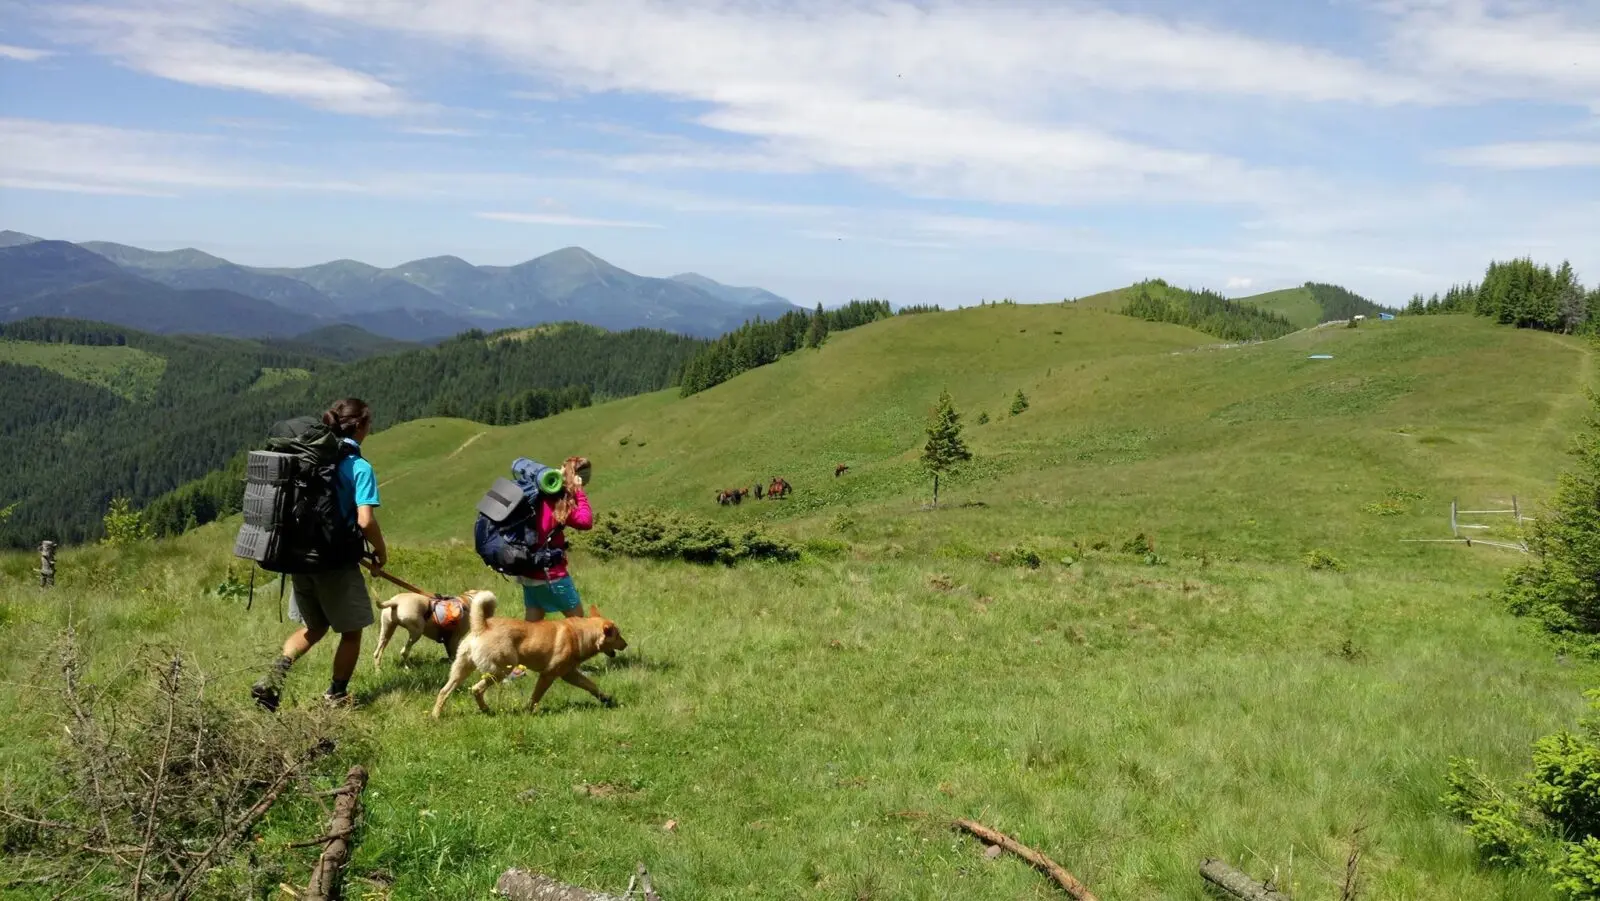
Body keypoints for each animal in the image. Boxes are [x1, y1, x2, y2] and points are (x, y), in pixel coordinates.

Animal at [432, 592, 630, 720]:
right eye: (618, 635)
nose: (626, 644)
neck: (579, 634)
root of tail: (481, 626)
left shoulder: (570, 674)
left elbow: (591, 685)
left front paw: (605, 698)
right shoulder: (548, 675)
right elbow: (536, 696)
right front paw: (528, 711)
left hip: (460, 670)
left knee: (444, 691)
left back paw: (436, 716)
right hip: (501, 671)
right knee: (475, 689)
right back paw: (486, 710)